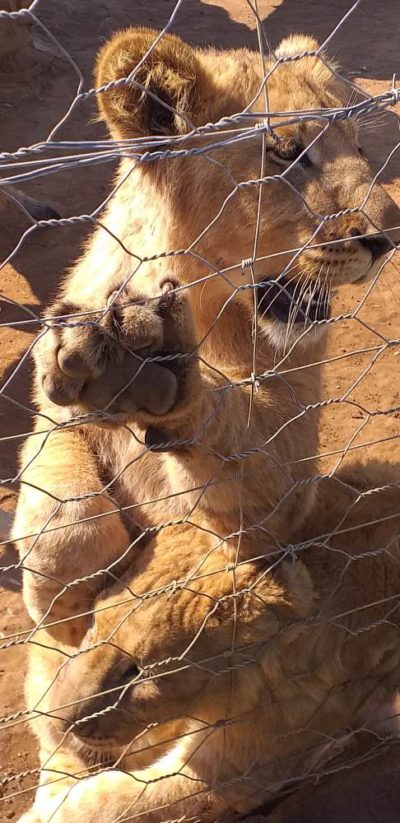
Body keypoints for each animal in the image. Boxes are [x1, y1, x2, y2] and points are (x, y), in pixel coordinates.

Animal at [11, 25, 400, 821]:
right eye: (286, 152)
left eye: (359, 147)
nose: (388, 237)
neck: (210, 302)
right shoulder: (52, 394)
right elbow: (58, 489)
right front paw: (61, 591)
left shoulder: (282, 492)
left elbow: (229, 446)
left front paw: (154, 371)